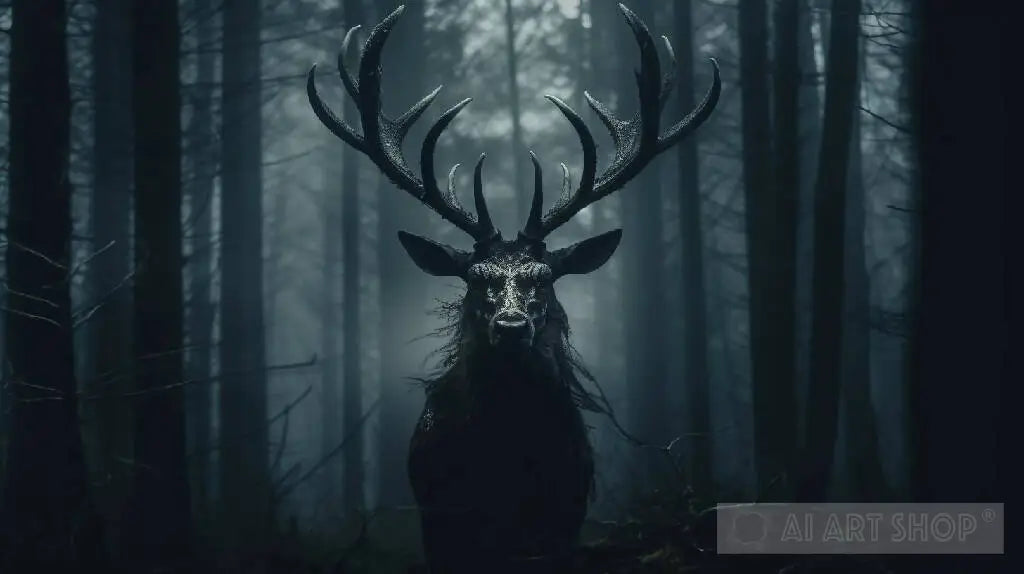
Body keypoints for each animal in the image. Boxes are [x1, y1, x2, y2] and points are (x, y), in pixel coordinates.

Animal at [307, 4, 719, 572]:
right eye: (474, 280)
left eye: (544, 280)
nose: (510, 325)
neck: (507, 475)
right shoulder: (440, 522)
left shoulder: (565, 519)